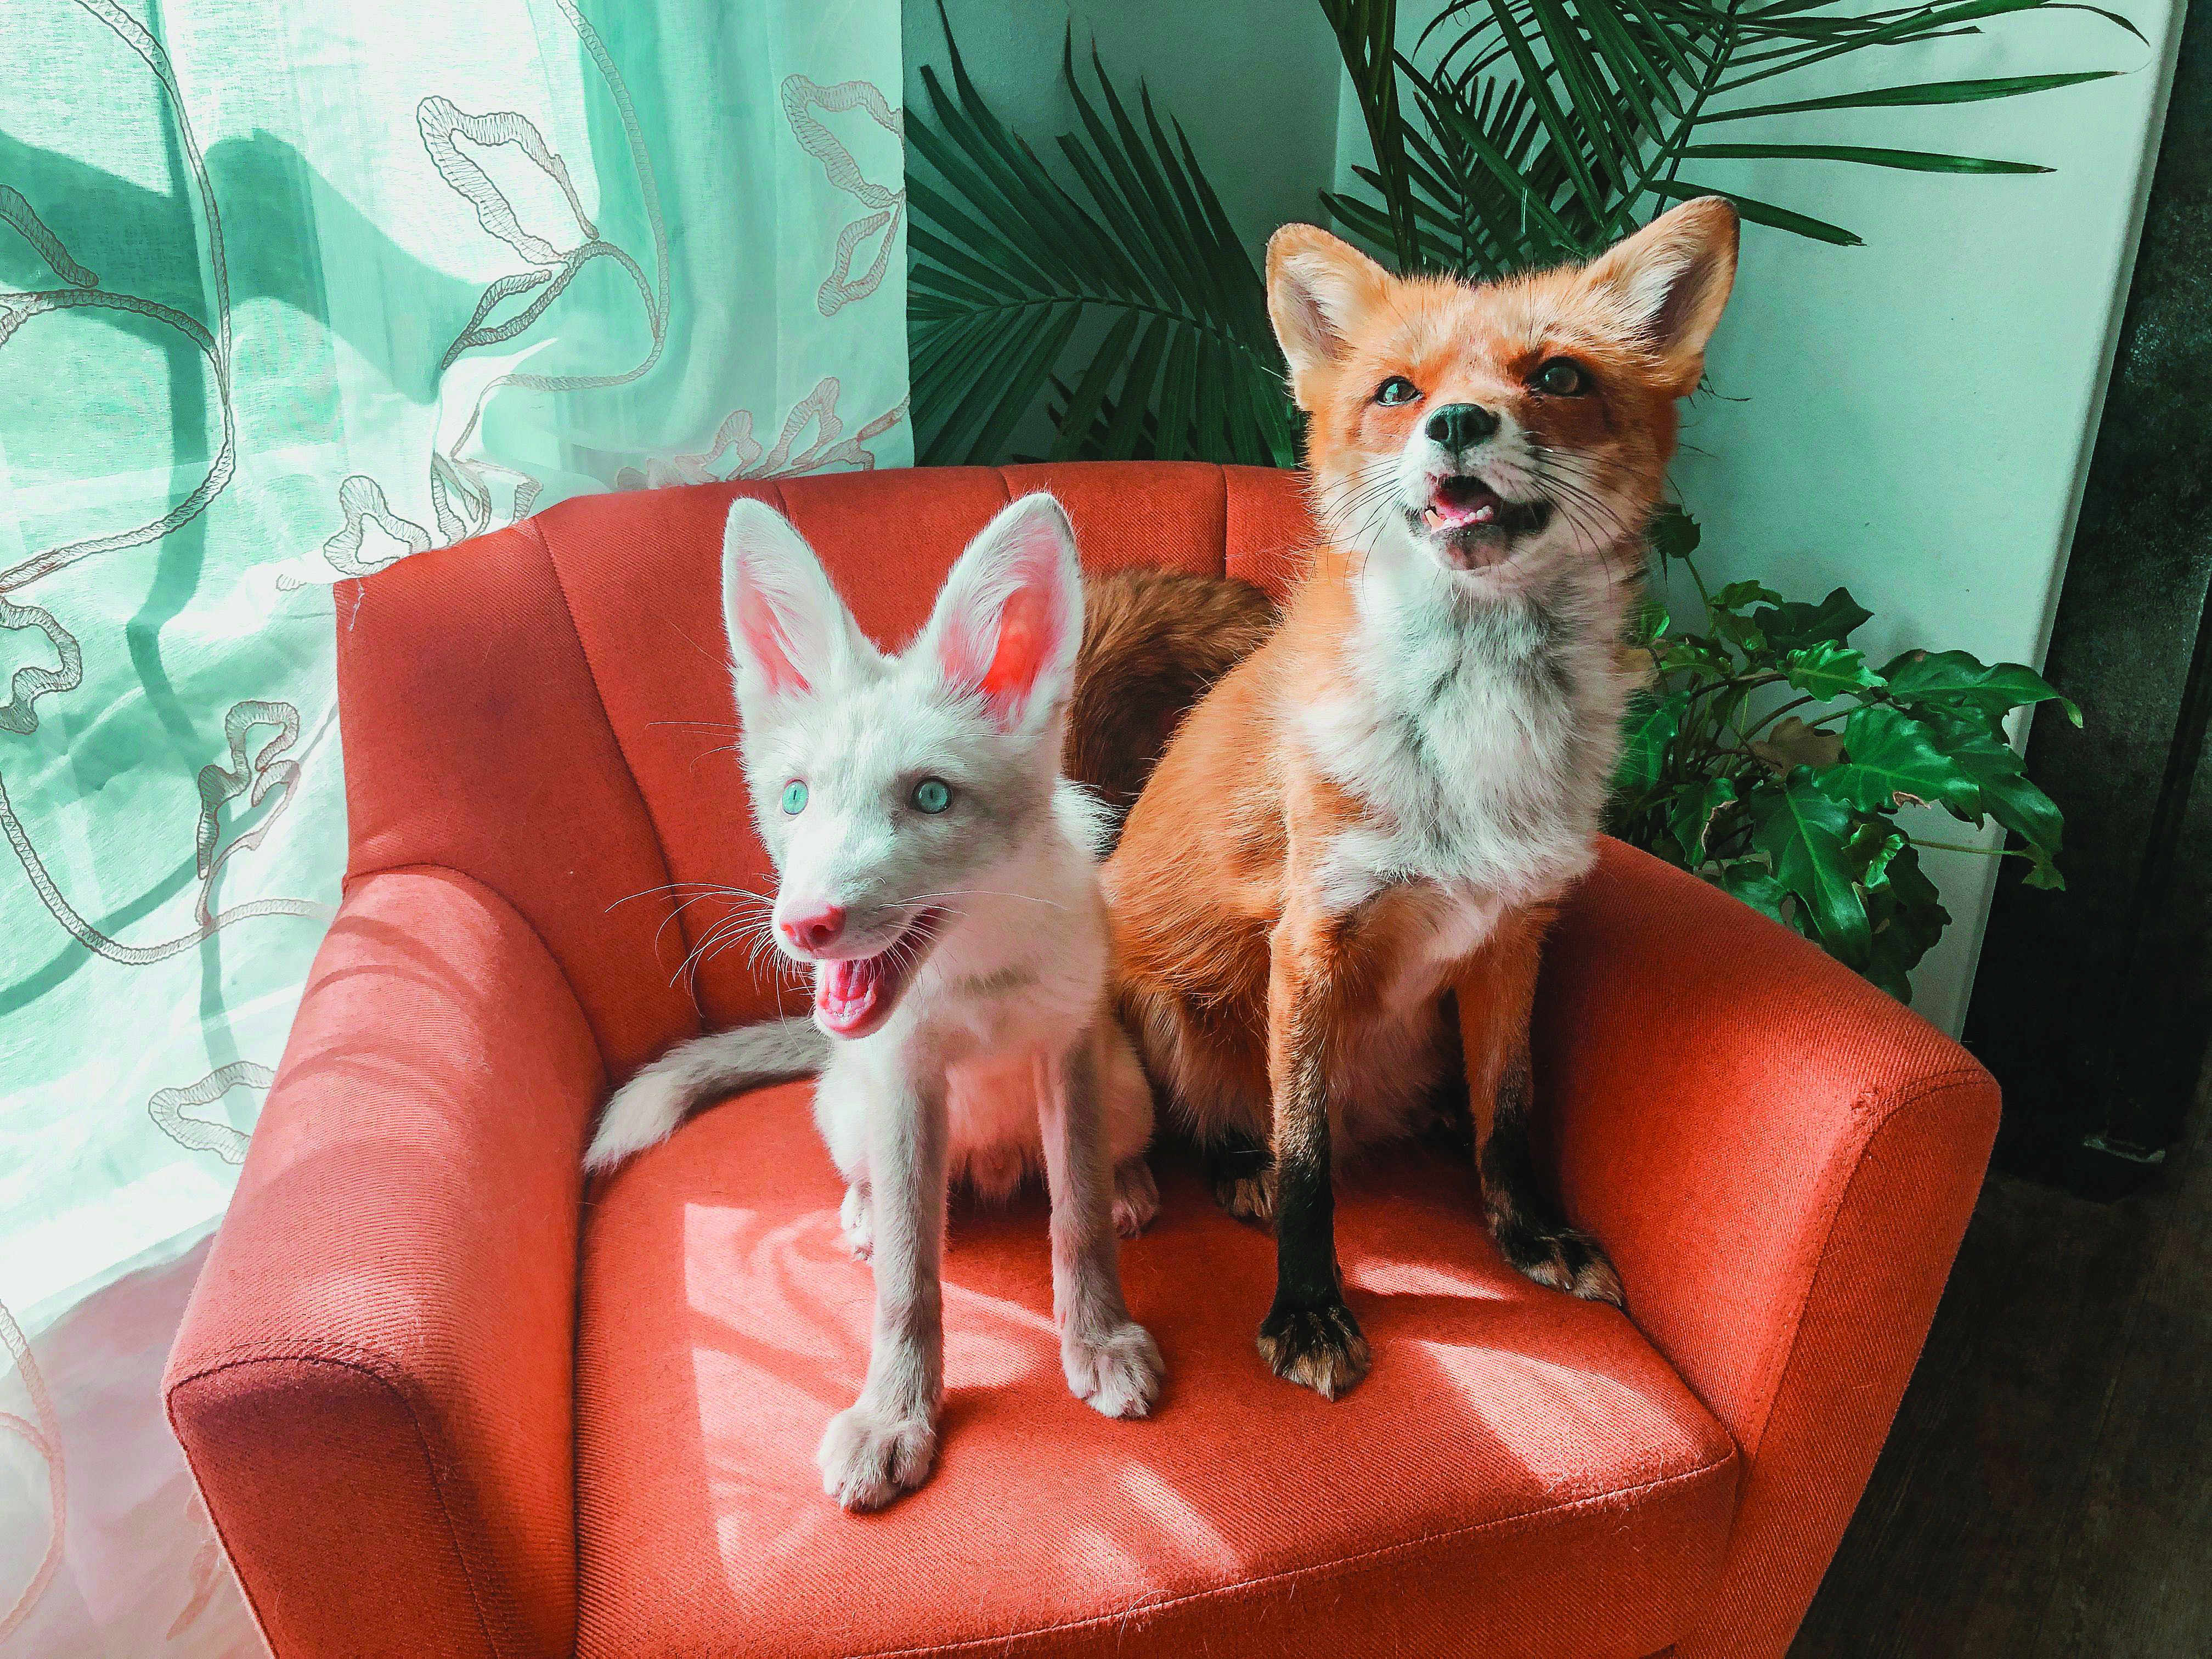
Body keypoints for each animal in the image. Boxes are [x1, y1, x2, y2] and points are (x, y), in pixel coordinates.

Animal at [584, 492, 1173, 1512]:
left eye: (931, 797)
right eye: (795, 798)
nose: (804, 925)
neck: (975, 983)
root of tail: (994, 1163)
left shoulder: (1067, 1051)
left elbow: (1080, 1221)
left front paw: (1098, 1339)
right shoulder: (906, 1084)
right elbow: (909, 1280)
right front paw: (895, 1415)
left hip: (1125, 1085)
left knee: (1099, 1166)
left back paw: (1131, 1182)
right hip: (850, 1112)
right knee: (878, 1194)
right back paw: (861, 1212)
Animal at [1103, 197, 1741, 1399]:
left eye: (1558, 375)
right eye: (1398, 390)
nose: (1455, 423)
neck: (1475, 727)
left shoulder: (1513, 932)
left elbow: (1512, 1110)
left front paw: (1527, 1231)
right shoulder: (1311, 938)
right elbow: (1310, 1159)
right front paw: (1308, 1307)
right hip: (1161, 1002)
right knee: (1230, 1122)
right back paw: (1234, 1164)